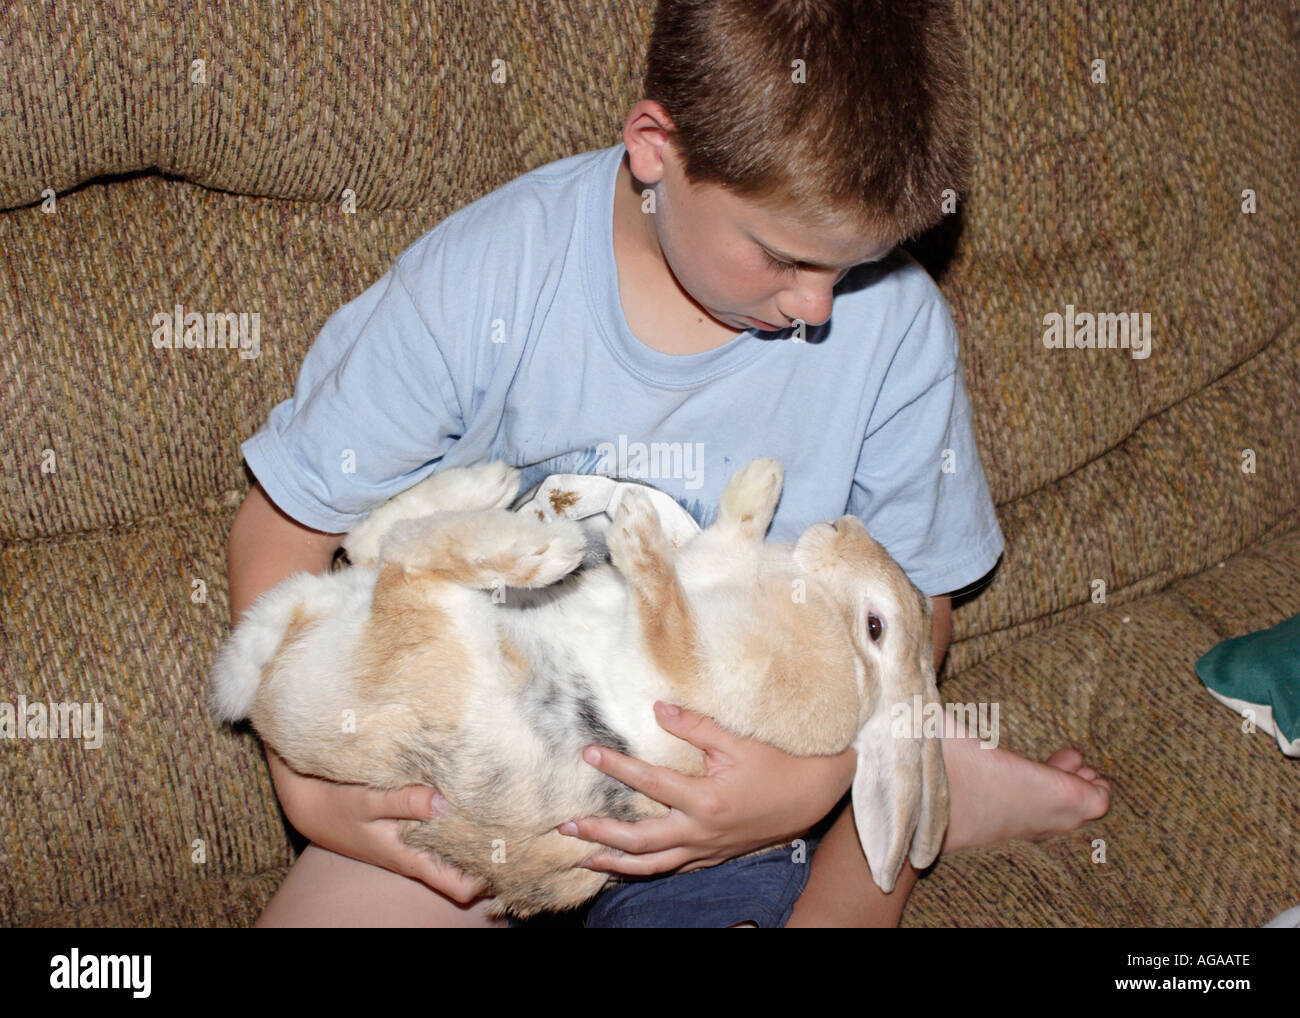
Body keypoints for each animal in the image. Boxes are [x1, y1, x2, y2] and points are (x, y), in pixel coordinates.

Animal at [210, 458, 948, 918]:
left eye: (876, 627)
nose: (844, 526)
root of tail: (263, 685)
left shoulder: (692, 672)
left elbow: (668, 616)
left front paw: (636, 529)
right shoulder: (711, 572)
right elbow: (716, 538)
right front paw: (759, 480)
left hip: (431, 637)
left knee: (401, 559)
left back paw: (539, 546)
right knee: (370, 544)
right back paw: (496, 487)